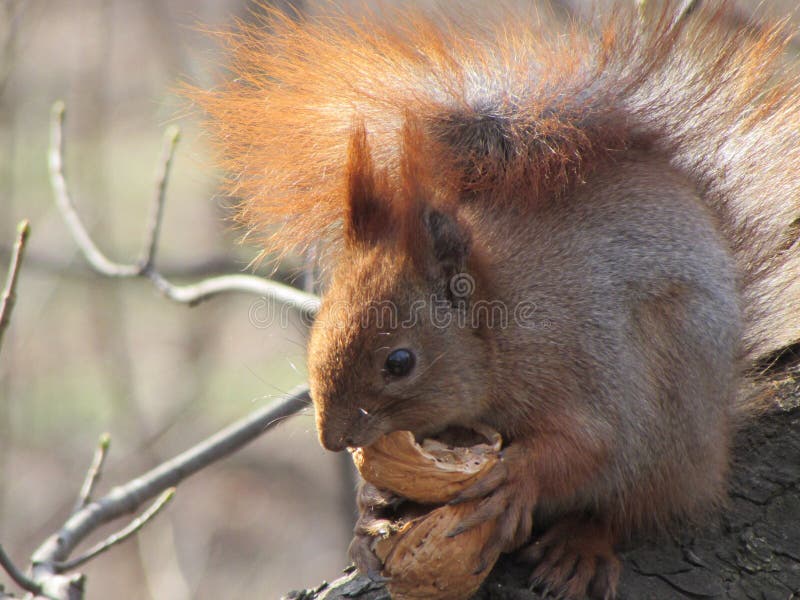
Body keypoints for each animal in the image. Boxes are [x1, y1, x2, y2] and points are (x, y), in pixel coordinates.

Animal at [191, 1, 800, 598]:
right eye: (316, 327)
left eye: (400, 362)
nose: (331, 439)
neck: (497, 328)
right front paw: (370, 508)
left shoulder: (581, 362)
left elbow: (589, 444)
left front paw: (514, 480)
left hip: (674, 415)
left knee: (632, 506)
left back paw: (580, 545)